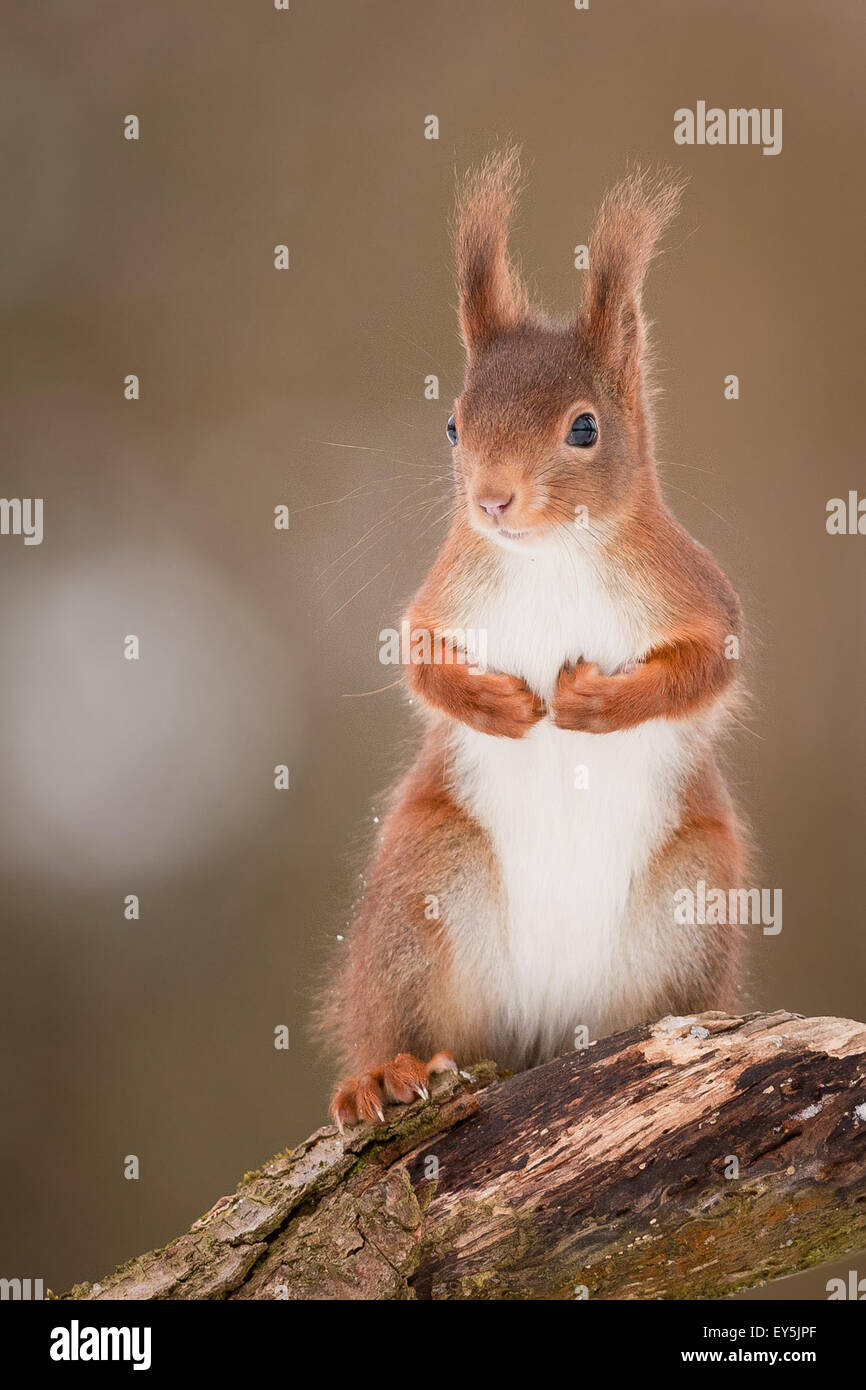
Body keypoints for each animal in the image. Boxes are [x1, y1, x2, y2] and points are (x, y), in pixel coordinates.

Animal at [319, 149, 747, 1130]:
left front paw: (598, 703)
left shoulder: (693, 593)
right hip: (423, 886)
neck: (551, 556)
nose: (491, 500)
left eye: (584, 427)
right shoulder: (448, 591)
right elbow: (418, 659)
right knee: (398, 1017)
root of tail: (547, 1028)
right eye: (452, 422)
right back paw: (382, 1074)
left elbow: (709, 667)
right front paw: (498, 705)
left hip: (691, 899)